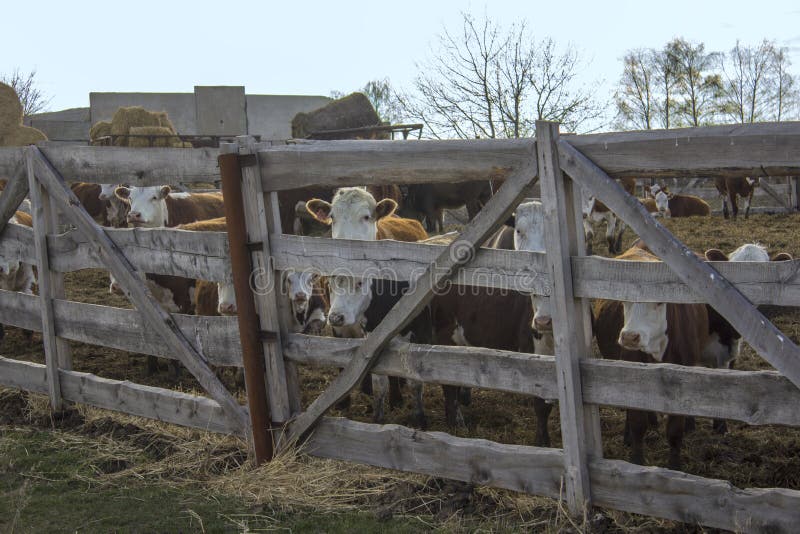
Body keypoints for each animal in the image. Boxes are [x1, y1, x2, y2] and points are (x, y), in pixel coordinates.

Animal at [306, 187, 431, 427]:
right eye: (332, 217)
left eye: (366, 216)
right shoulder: (350, 329)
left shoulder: (413, 329)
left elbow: (412, 378)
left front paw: (415, 413)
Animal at [593, 246, 709, 470]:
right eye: (624, 300)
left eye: (659, 301)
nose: (629, 336)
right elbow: (638, 423)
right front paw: (637, 459)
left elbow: (675, 431)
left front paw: (674, 465)